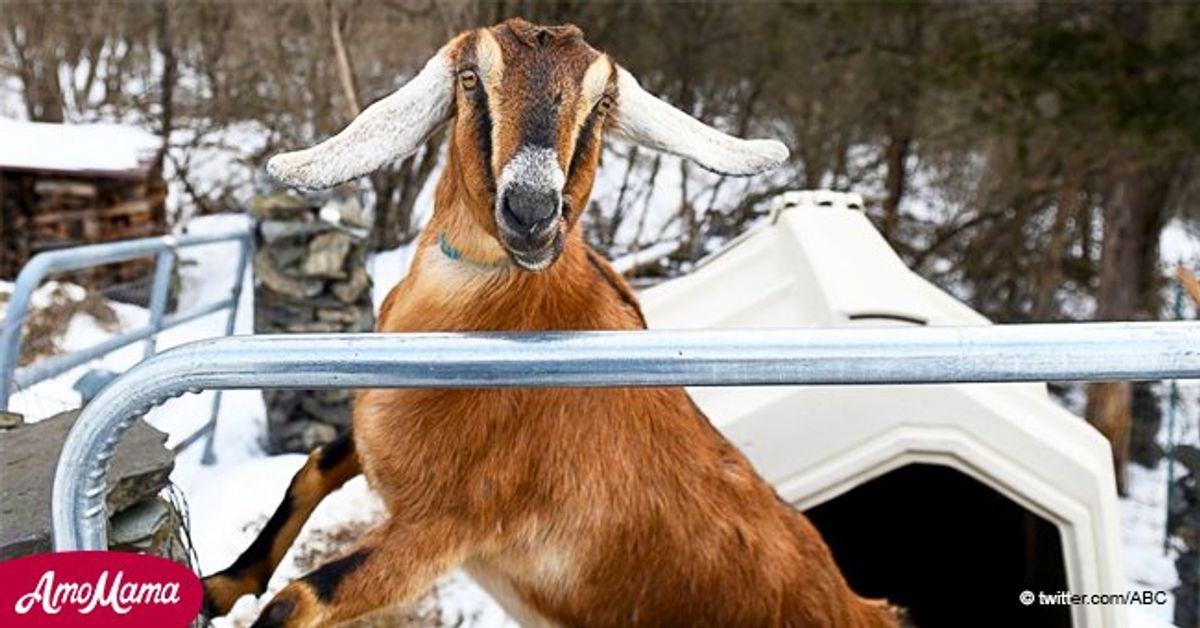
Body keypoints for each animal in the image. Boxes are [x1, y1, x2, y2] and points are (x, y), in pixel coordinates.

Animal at [203, 18, 902, 628]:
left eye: (601, 104)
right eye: (470, 79)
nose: (533, 211)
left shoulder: (445, 525)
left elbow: (298, 600)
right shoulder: (378, 450)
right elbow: (313, 466)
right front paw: (217, 587)